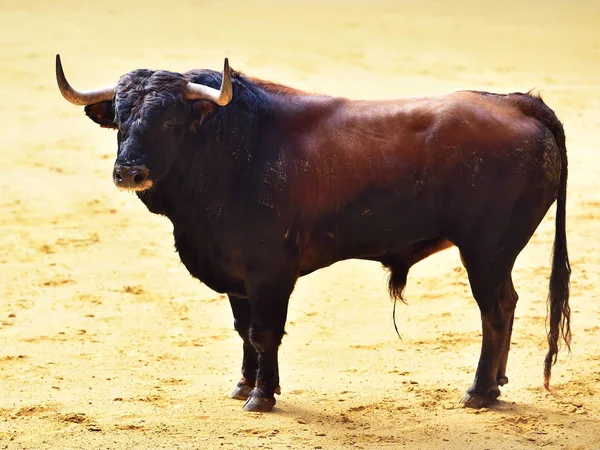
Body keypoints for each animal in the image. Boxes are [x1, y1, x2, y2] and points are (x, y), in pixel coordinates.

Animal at [55, 54, 568, 414]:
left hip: (486, 250)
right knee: (508, 303)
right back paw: (497, 384)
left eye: (170, 120)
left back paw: (479, 391)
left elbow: (265, 332)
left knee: (494, 310)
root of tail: (517, 102)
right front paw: (245, 384)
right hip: (494, 254)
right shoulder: (236, 275)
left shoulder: (269, 273)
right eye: (120, 117)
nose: (129, 172)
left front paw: (262, 396)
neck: (230, 149)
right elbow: (244, 330)